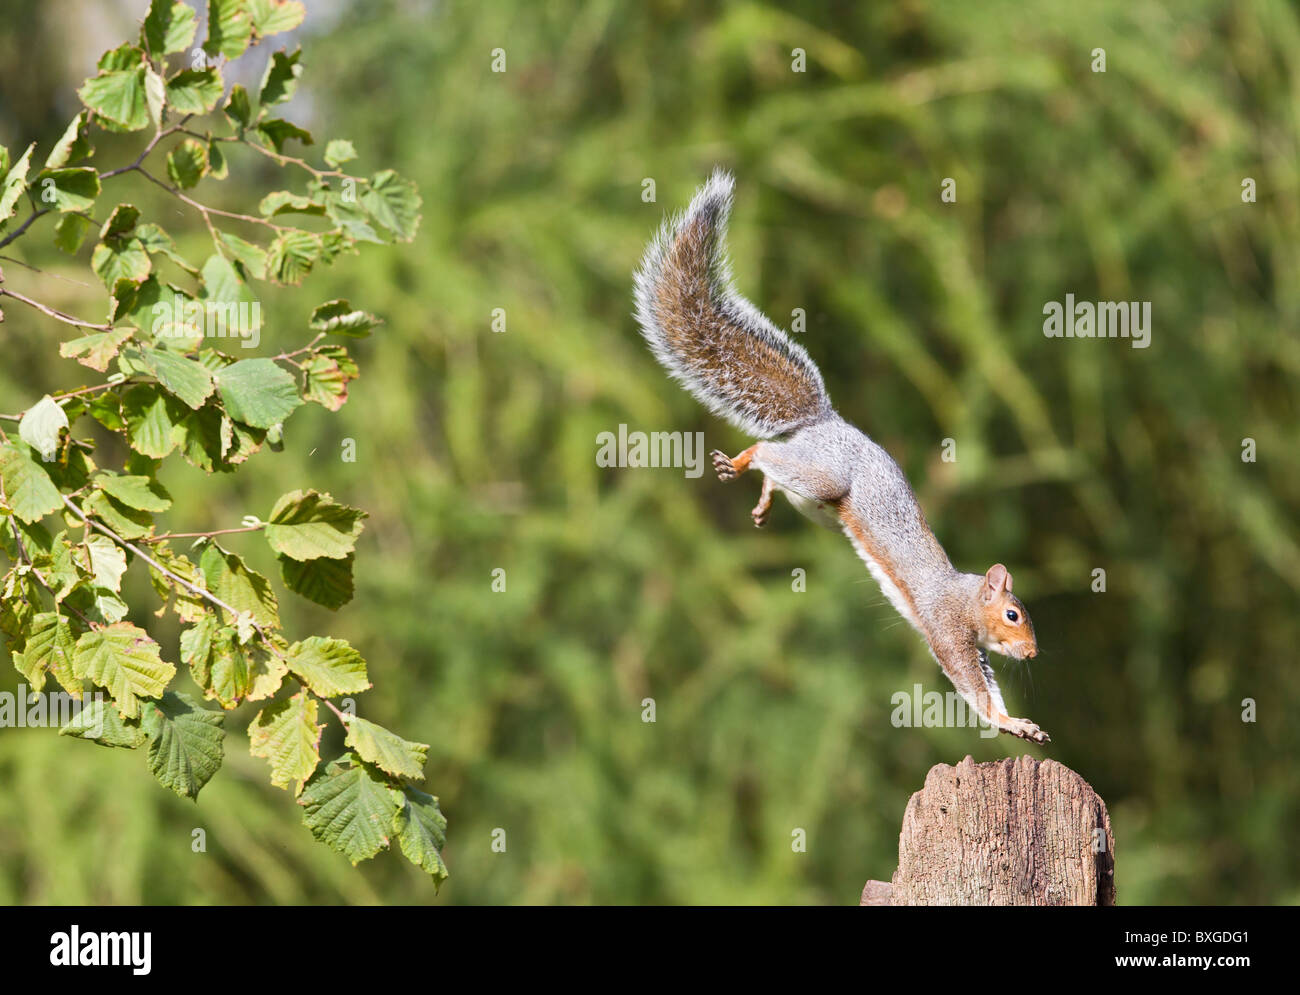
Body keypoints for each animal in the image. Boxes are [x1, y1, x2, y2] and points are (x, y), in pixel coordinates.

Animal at [633, 170, 1049, 745]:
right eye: (1012, 615)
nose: (1032, 653)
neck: (963, 595)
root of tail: (825, 422)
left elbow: (985, 681)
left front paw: (1018, 722)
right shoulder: (946, 628)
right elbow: (969, 681)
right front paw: (1005, 721)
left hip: (816, 504)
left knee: (779, 474)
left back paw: (762, 497)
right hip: (824, 479)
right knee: (769, 453)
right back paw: (742, 461)